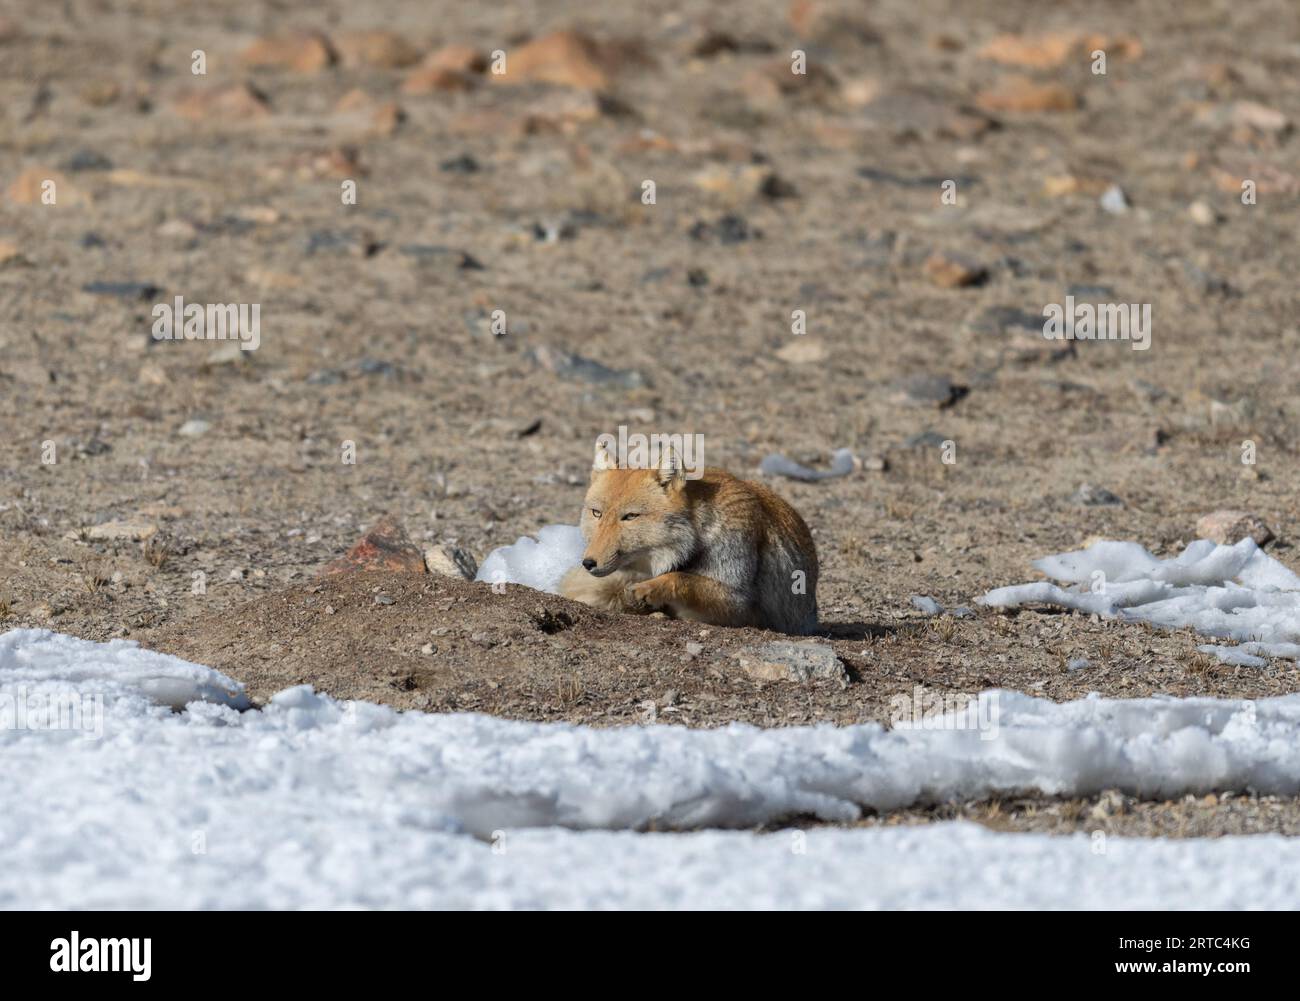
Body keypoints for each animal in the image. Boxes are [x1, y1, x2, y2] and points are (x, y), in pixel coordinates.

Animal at [558, 441, 819, 634]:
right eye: (597, 513)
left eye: (630, 516)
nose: (588, 563)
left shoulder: (743, 605)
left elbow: (680, 578)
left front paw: (651, 588)